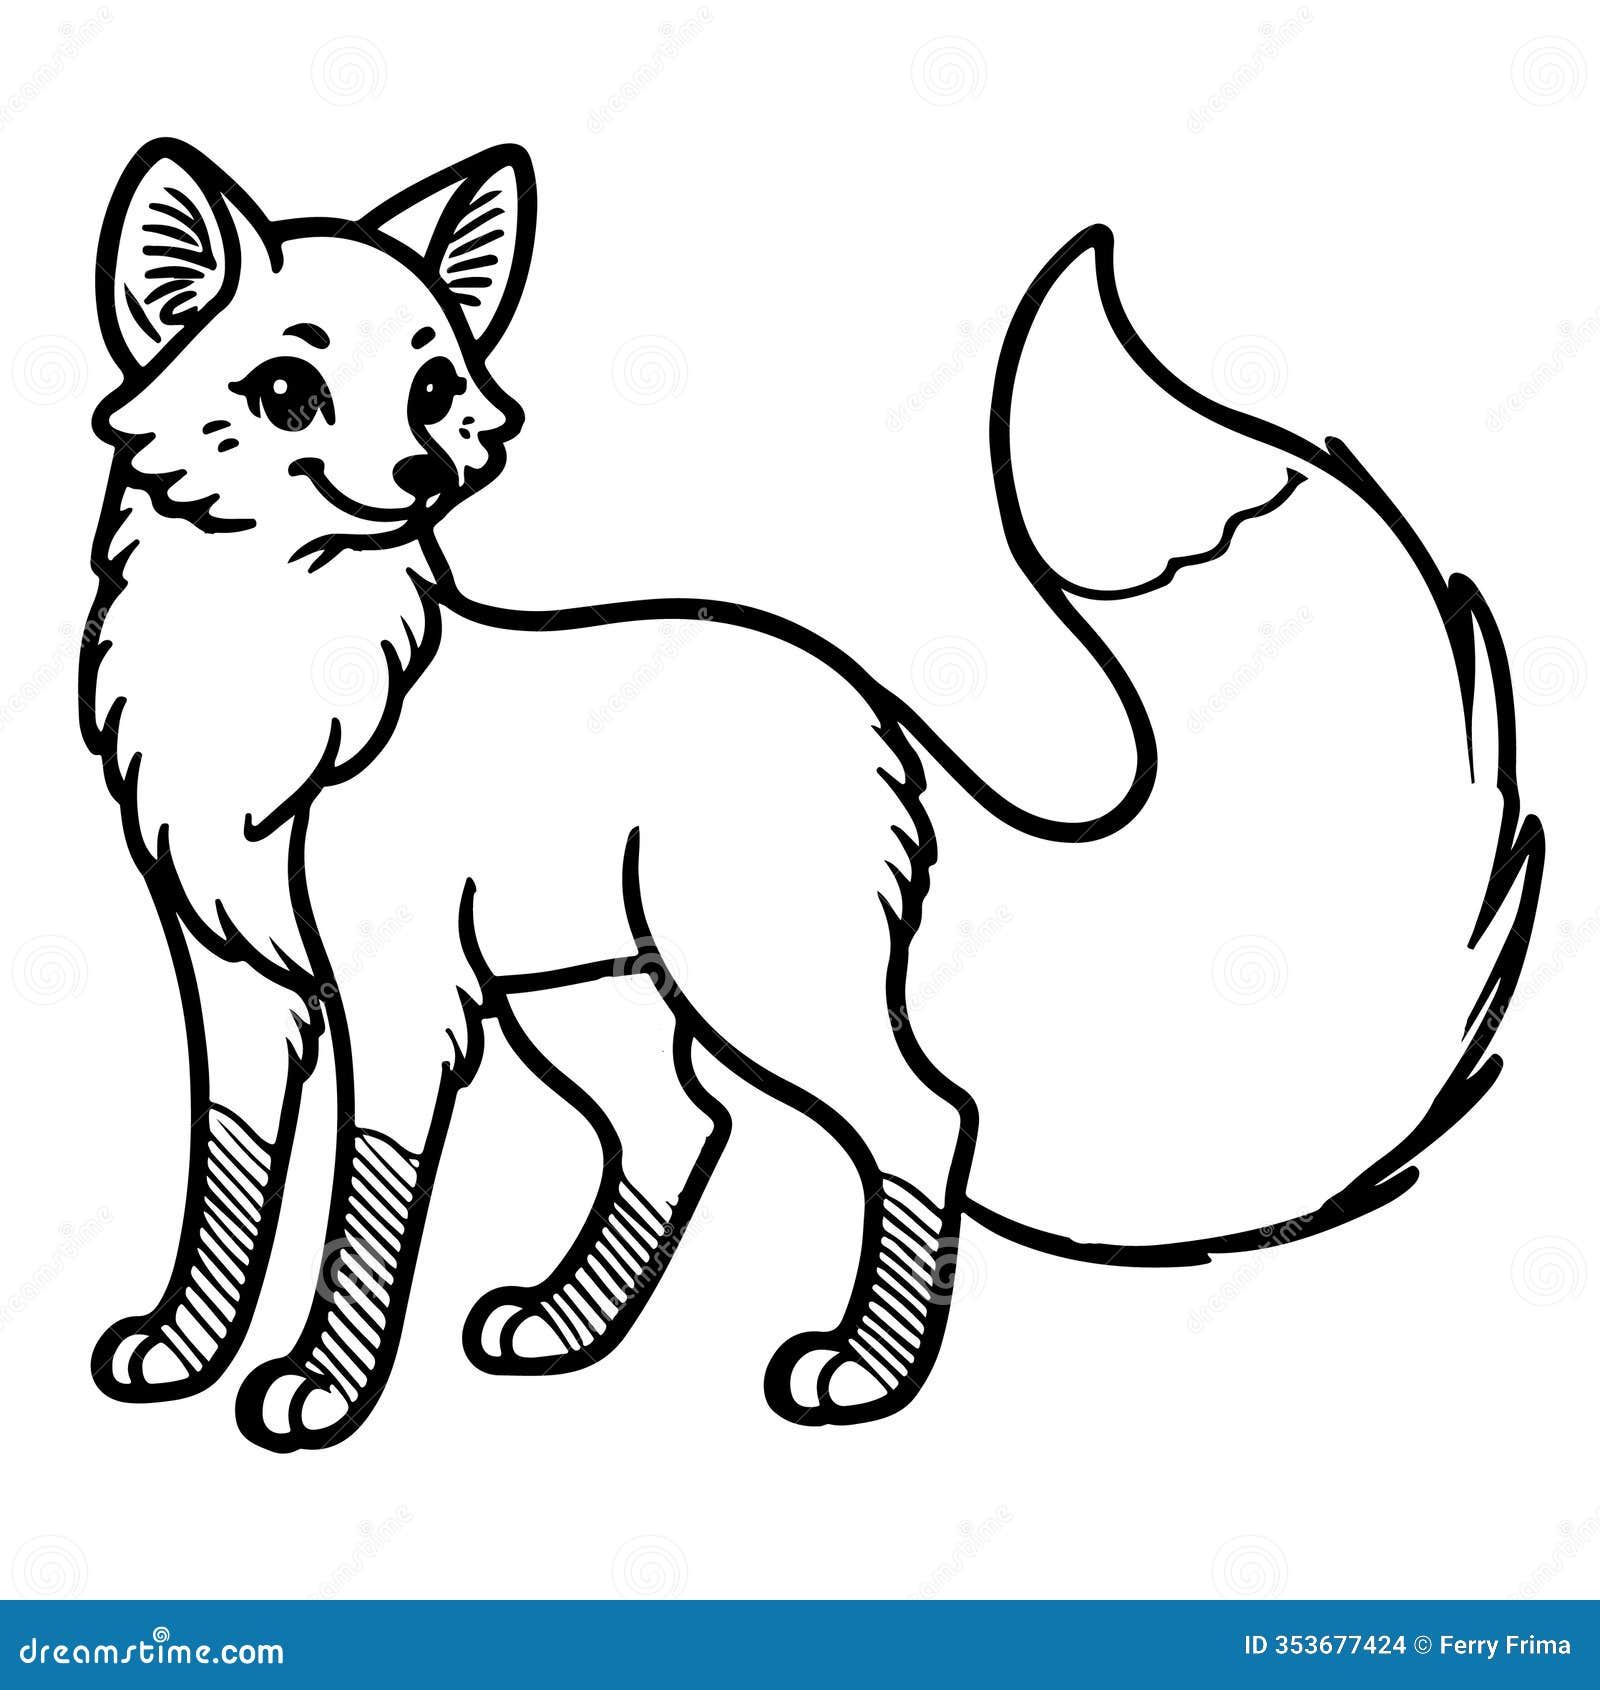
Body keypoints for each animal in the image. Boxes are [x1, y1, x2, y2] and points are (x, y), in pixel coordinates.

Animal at [82, 138, 1542, 1452]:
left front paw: (322, 1387)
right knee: (683, 1124)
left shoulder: (396, 991)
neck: (282, 687)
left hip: (750, 983)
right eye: (289, 390)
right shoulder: (238, 975)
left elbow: (365, 1204)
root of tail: (867, 700)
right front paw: (185, 1348)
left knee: (923, 1116)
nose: (427, 473)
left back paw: (865, 1369)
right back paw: (570, 1325)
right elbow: (225, 1175)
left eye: (435, 386)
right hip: (595, 990)